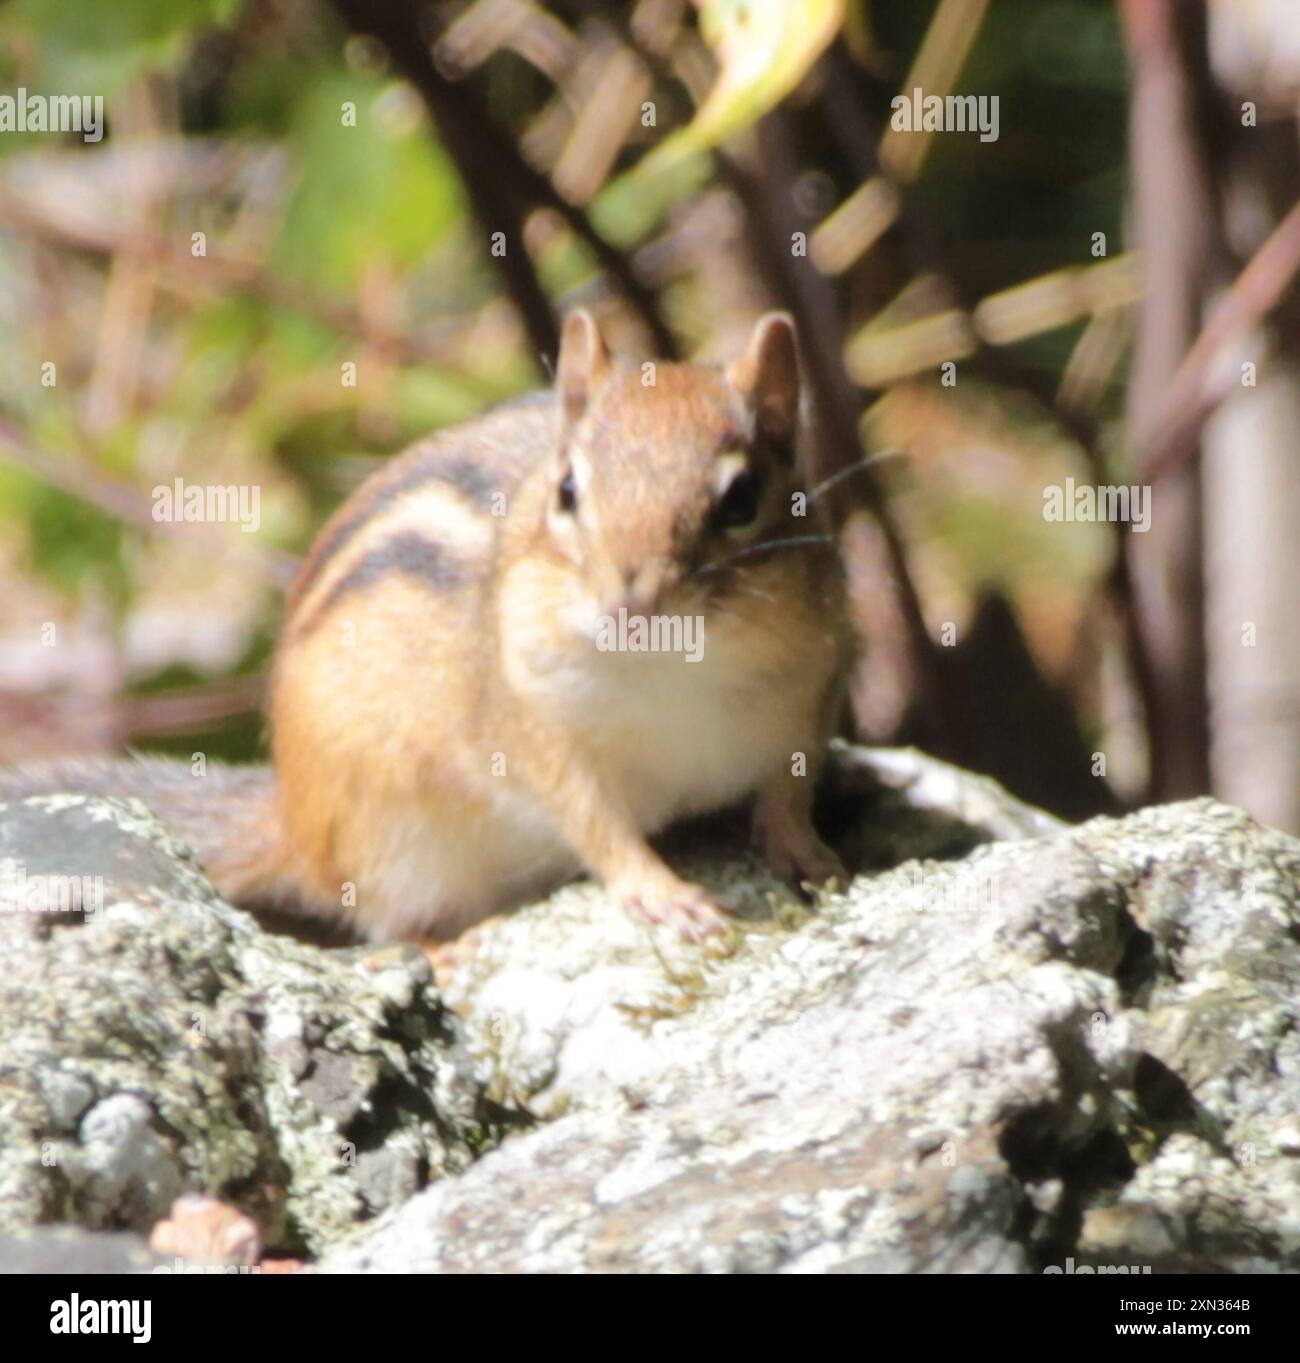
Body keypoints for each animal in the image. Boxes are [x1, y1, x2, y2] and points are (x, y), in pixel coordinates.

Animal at [0, 311, 849, 943]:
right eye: (568, 491)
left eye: (742, 499)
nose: (632, 600)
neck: (675, 672)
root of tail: (292, 819)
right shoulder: (535, 726)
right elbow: (595, 822)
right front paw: (662, 892)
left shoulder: (810, 692)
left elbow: (790, 785)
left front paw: (809, 853)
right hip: (397, 844)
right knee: (394, 928)